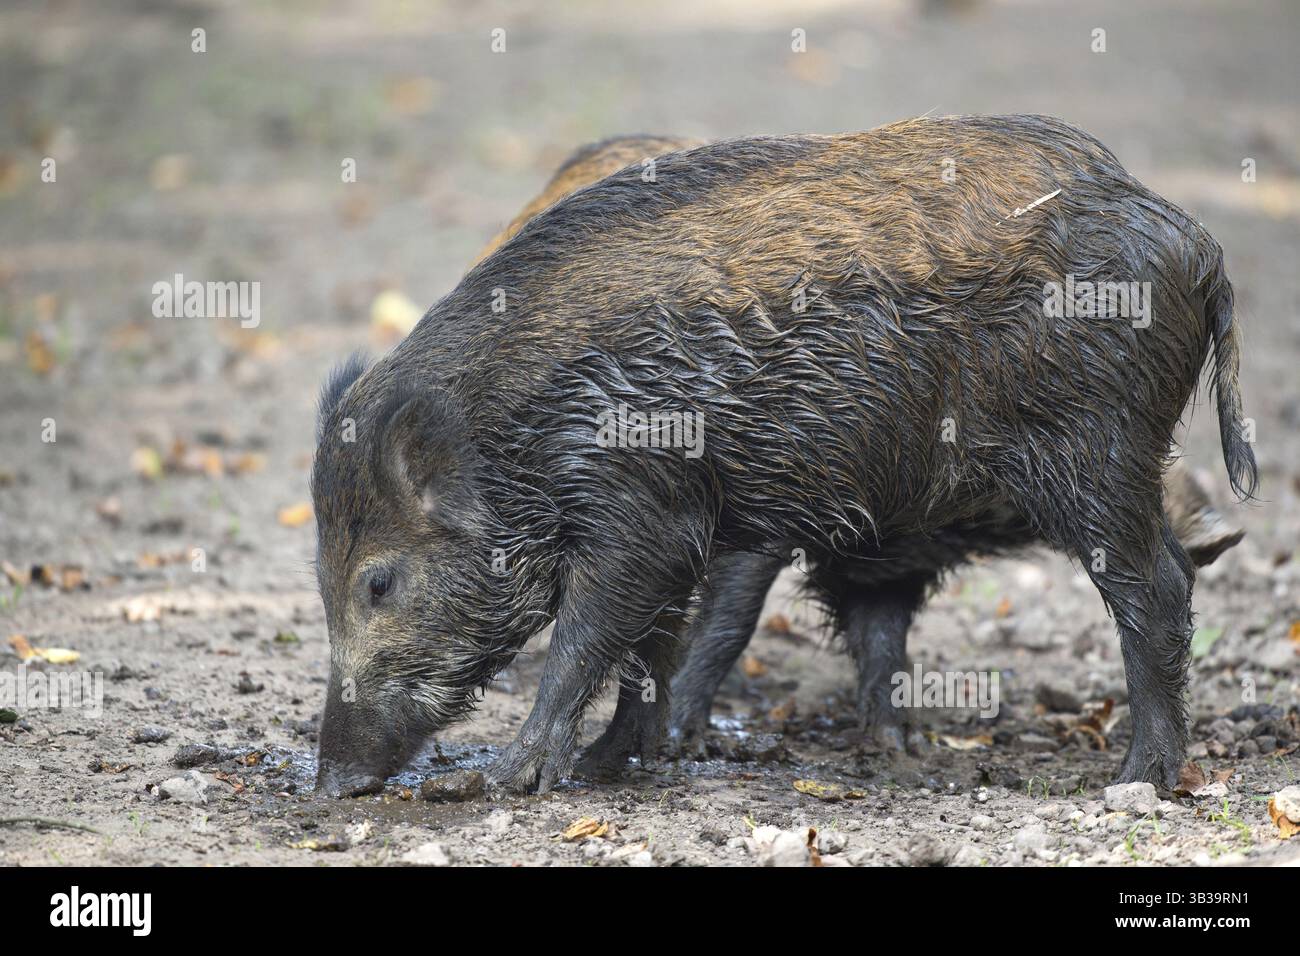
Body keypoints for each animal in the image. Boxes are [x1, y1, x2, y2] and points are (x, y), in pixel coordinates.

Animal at [312, 114, 1256, 796]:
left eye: (378, 582)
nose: (330, 784)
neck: (520, 432)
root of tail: (1197, 242)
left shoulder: (641, 513)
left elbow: (593, 642)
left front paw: (503, 782)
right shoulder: (681, 523)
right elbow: (652, 647)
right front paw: (611, 767)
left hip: (1097, 451)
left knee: (1159, 588)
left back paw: (1135, 779)